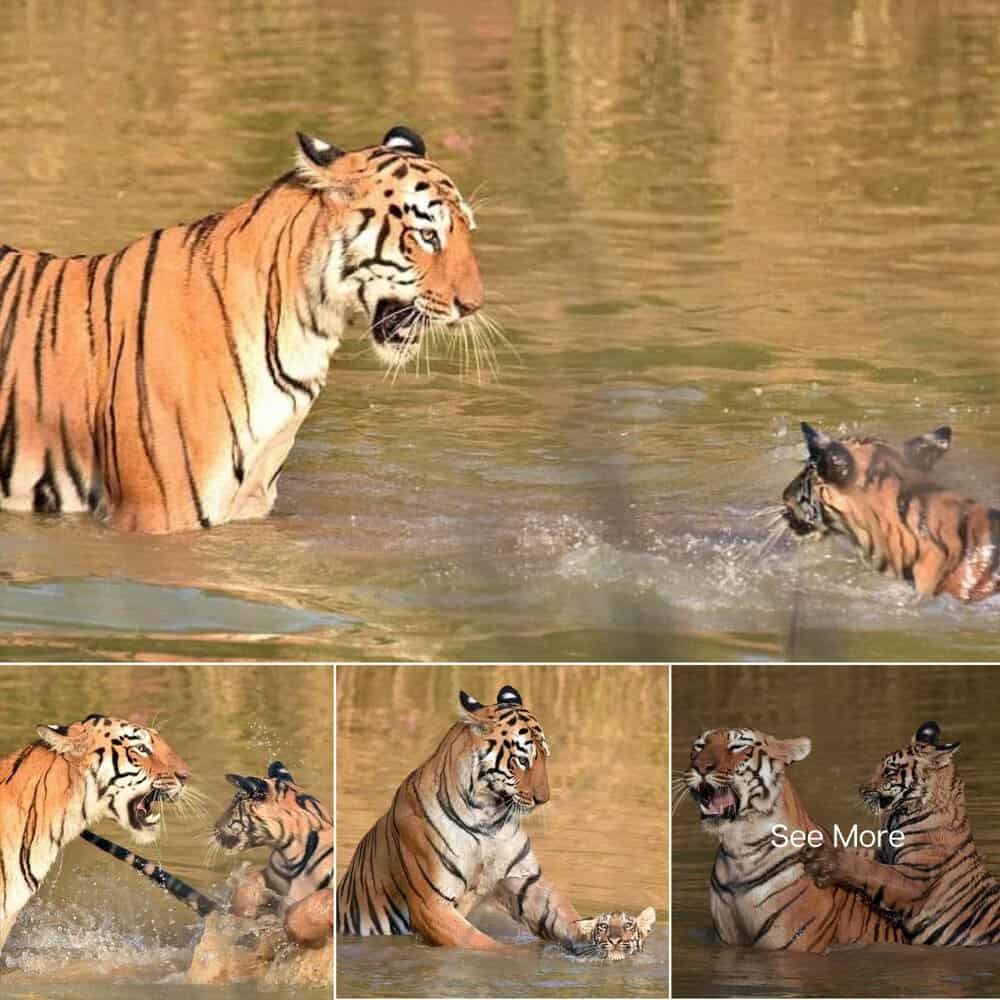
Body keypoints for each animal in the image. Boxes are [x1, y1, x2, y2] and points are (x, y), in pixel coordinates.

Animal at [0, 125, 482, 532]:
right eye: (427, 235)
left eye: (466, 231)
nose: (474, 305)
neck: (307, 333)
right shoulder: (157, 513)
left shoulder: (250, 502)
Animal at [214, 761, 333, 949]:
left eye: (233, 806)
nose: (215, 827)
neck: (289, 854)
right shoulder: (273, 877)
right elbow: (248, 885)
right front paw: (242, 914)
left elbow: (304, 908)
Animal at [337, 685, 591, 952]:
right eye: (522, 760)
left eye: (545, 757)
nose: (543, 798)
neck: (489, 818)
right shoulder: (431, 904)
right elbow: (488, 945)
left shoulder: (521, 879)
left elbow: (561, 912)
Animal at [804, 721, 1000, 946]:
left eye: (889, 771)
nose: (862, 790)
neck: (899, 815)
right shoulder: (883, 853)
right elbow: (858, 852)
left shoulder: (914, 878)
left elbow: (870, 869)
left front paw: (825, 860)